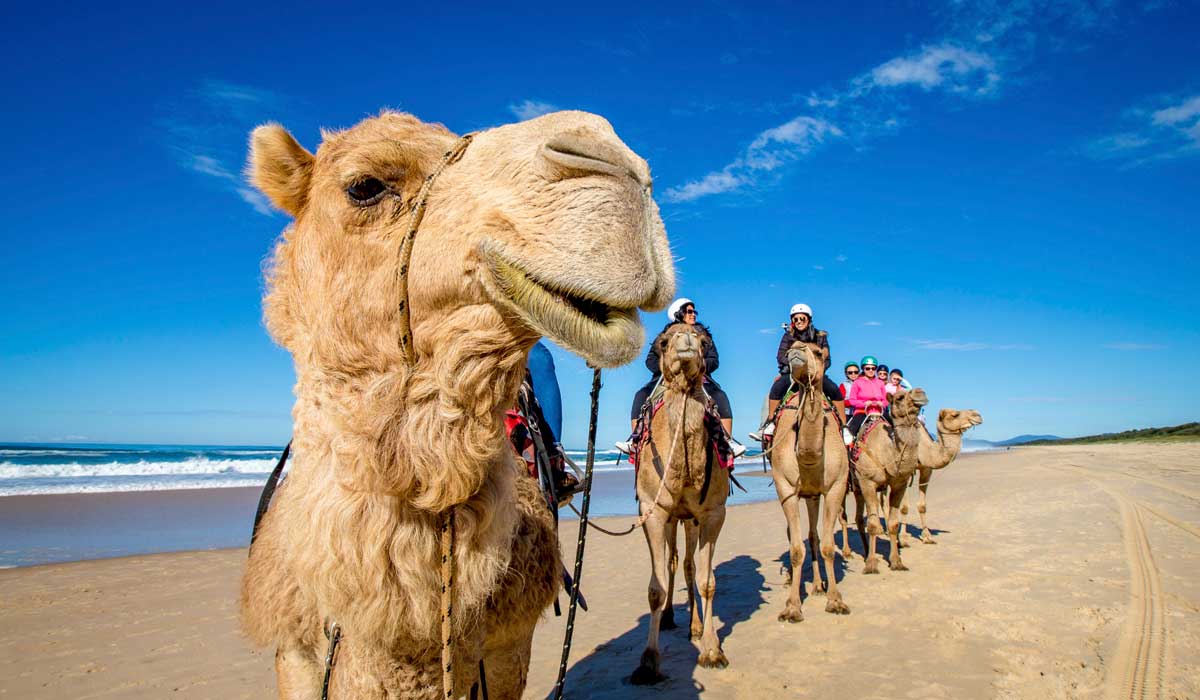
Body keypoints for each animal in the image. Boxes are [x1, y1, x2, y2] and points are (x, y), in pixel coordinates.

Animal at [631, 323, 730, 684]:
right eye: (662, 342)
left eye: (704, 341)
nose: (686, 341)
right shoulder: (653, 510)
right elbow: (655, 588)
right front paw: (648, 662)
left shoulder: (713, 513)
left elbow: (707, 581)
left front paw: (712, 650)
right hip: (673, 517)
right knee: (673, 562)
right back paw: (671, 617)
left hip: (690, 518)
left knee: (687, 564)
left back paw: (695, 627)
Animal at [766, 341, 851, 622]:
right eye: (789, 346)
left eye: (819, 352)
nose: (796, 350)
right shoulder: (786, 488)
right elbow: (795, 550)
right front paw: (792, 606)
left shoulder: (835, 487)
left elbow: (827, 546)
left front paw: (835, 600)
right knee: (796, 535)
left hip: (814, 495)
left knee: (813, 536)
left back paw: (817, 585)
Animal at [848, 389, 928, 574]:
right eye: (899, 397)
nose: (921, 393)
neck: (887, 452)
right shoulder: (867, 482)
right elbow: (872, 524)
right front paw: (871, 565)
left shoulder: (899, 484)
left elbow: (892, 523)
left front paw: (896, 561)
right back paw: (849, 554)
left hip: (858, 489)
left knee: (858, 518)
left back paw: (865, 551)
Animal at [898, 408, 984, 545]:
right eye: (955, 414)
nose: (977, 414)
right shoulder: (904, 472)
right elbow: (904, 507)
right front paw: (903, 539)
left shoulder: (926, 470)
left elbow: (922, 506)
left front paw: (927, 537)